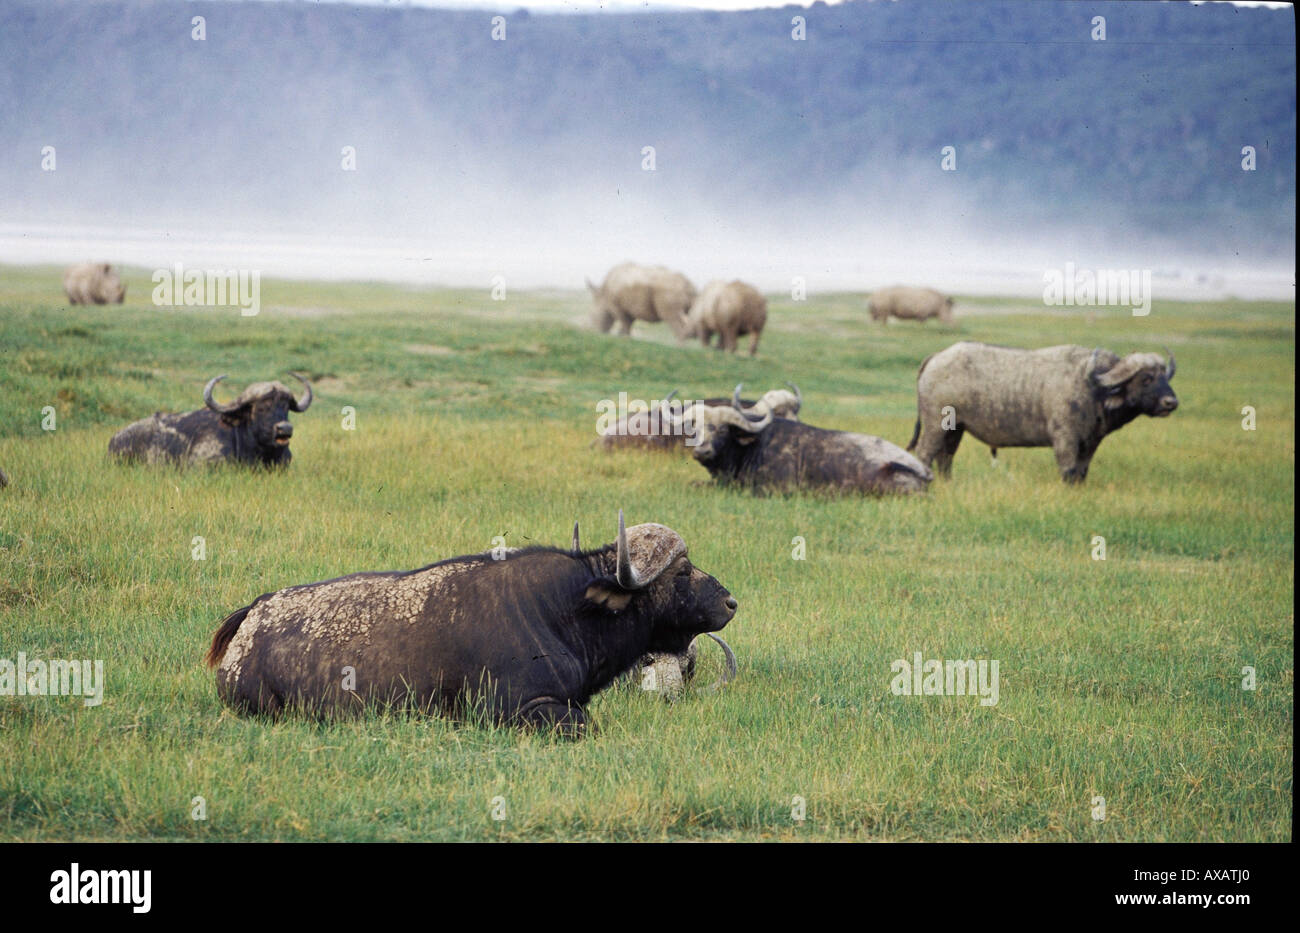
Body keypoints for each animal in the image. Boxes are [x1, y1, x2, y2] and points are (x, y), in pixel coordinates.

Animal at [206, 512, 738, 737]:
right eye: (683, 572)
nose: (730, 602)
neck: (562, 613)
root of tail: (252, 615)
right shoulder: (513, 710)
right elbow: (586, 723)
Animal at [907, 342, 1178, 482]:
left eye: (1164, 377)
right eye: (1146, 378)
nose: (1171, 402)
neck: (1092, 389)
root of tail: (937, 357)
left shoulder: (1090, 443)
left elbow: (1082, 472)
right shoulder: (1065, 439)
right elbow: (1068, 471)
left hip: (956, 428)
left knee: (946, 458)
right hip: (935, 426)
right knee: (924, 455)